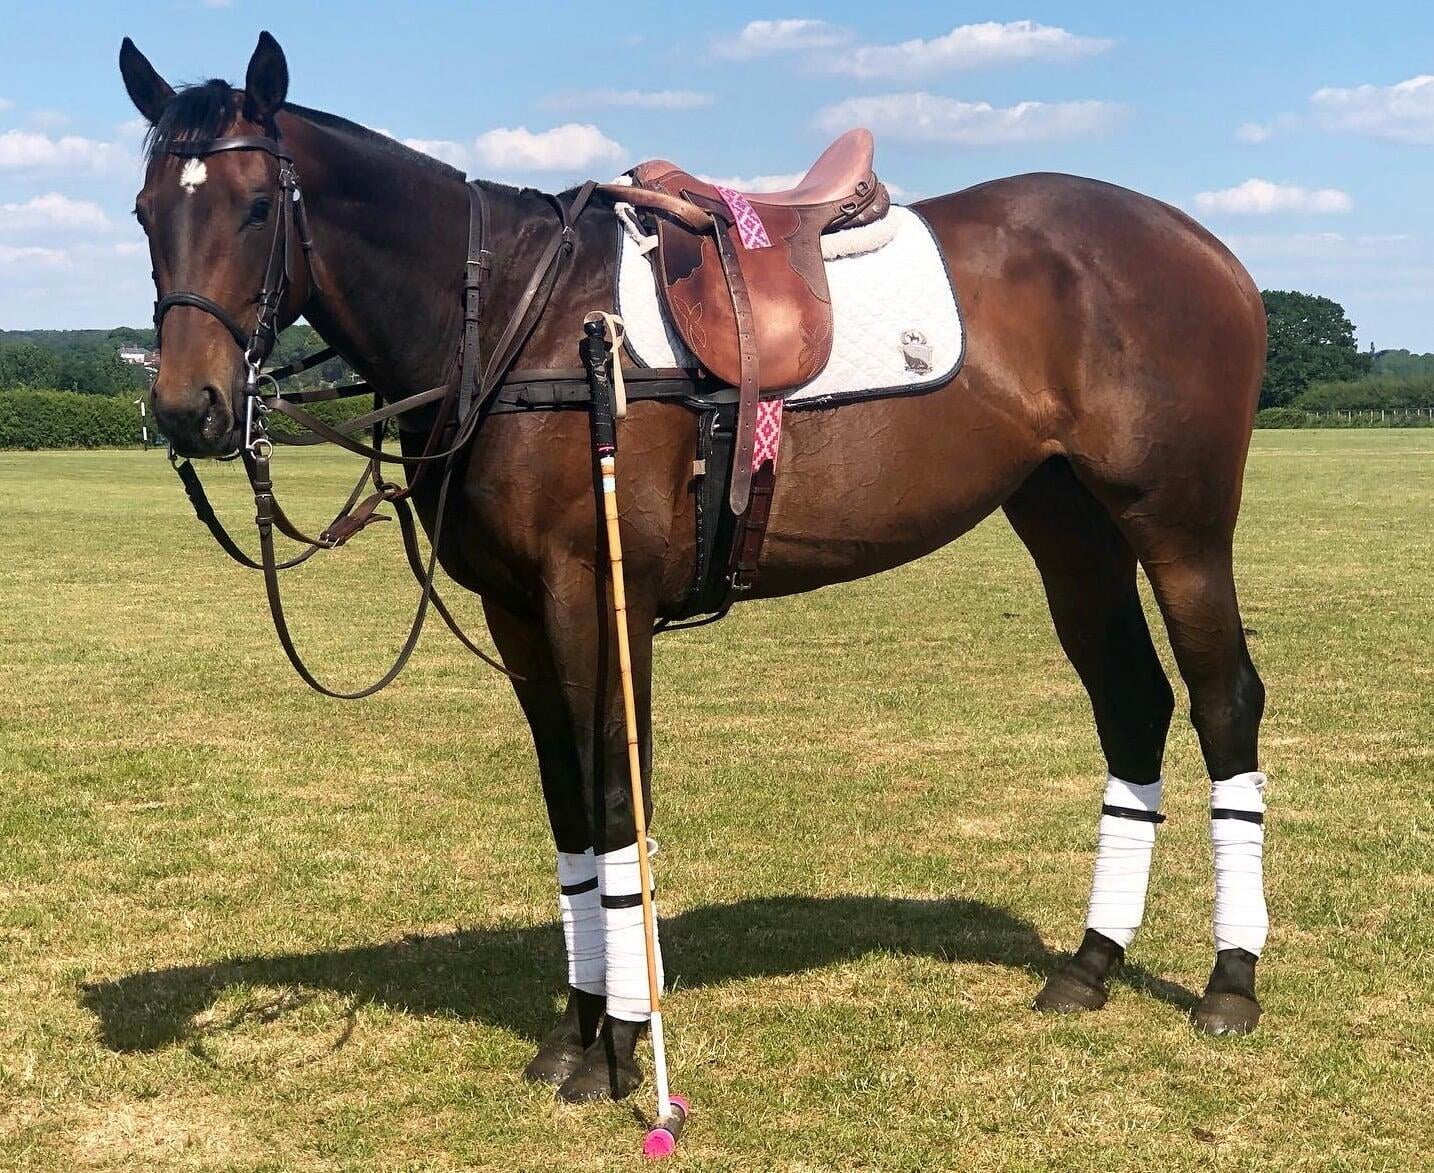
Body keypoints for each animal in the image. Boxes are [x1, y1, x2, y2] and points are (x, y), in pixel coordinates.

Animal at [119, 31, 1271, 1103]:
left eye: (258, 208)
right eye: (142, 212)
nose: (189, 408)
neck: (516, 323)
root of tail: (1213, 248)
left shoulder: (598, 591)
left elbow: (613, 797)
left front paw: (622, 1048)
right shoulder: (517, 612)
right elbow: (568, 809)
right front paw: (576, 1030)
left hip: (1177, 524)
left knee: (1224, 700)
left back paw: (1230, 982)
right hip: (1065, 521)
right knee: (1132, 701)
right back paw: (1090, 965)